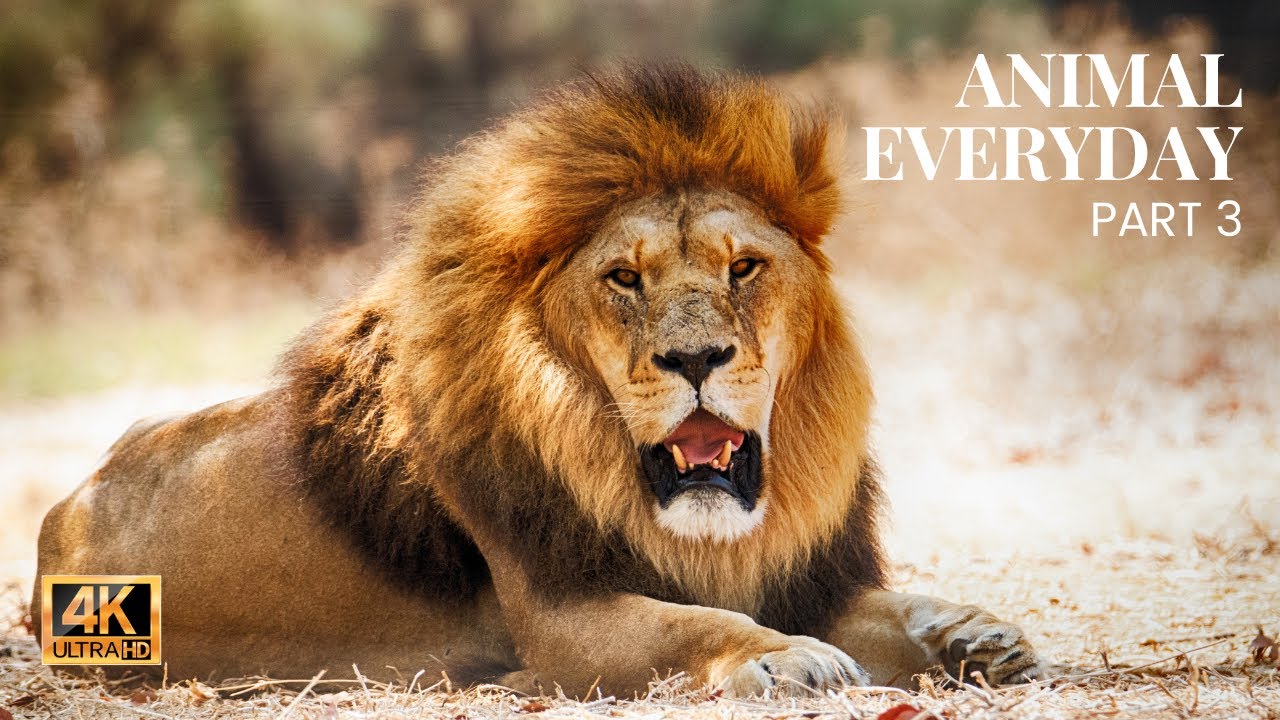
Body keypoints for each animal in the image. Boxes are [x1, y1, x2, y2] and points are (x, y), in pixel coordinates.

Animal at [32, 65, 1044, 696]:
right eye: (624, 278)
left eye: (744, 268)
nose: (695, 361)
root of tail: (66, 509)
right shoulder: (562, 615)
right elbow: (695, 625)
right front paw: (789, 659)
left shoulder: (802, 572)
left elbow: (892, 603)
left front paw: (974, 634)